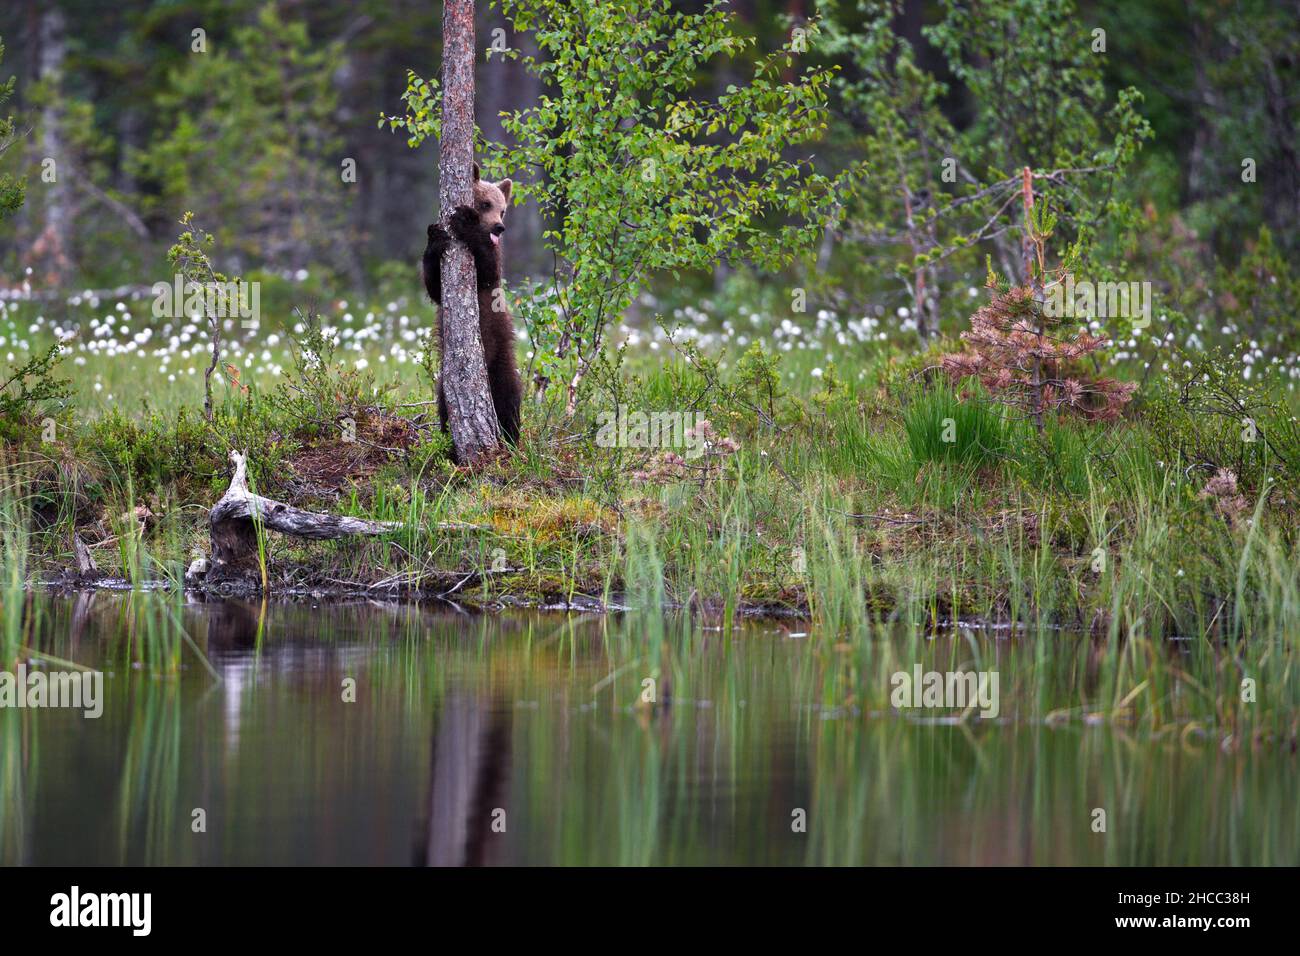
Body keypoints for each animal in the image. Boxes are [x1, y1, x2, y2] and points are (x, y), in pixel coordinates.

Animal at [422, 163, 522, 446]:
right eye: (486, 203)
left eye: (503, 209)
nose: (499, 227)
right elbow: (434, 287)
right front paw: (435, 239)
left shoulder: (491, 279)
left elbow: (489, 271)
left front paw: (465, 221)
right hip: (448, 381)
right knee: (444, 400)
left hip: (503, 360)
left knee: (510, 398)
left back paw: (511, 437)